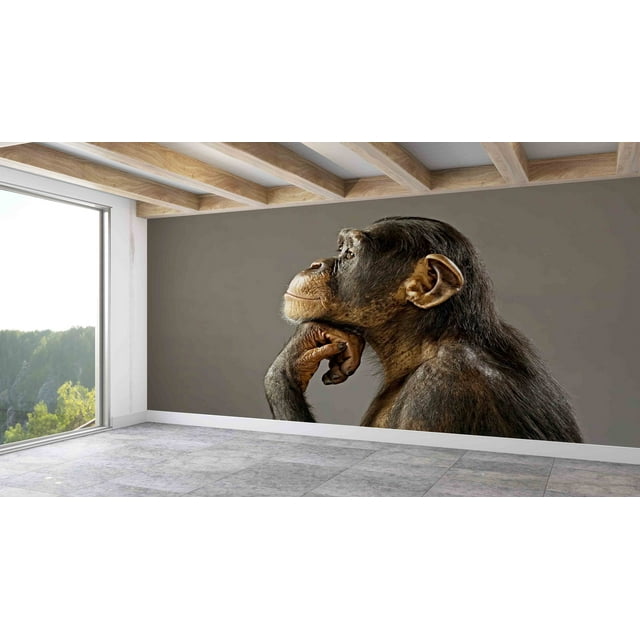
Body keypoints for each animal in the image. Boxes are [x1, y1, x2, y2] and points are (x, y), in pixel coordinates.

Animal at [264, 216, 583, 442]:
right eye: (340, 249)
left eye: (350, 254)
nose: (315, 264)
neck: (425, 342)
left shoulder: (441, 394)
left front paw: (292, 357)